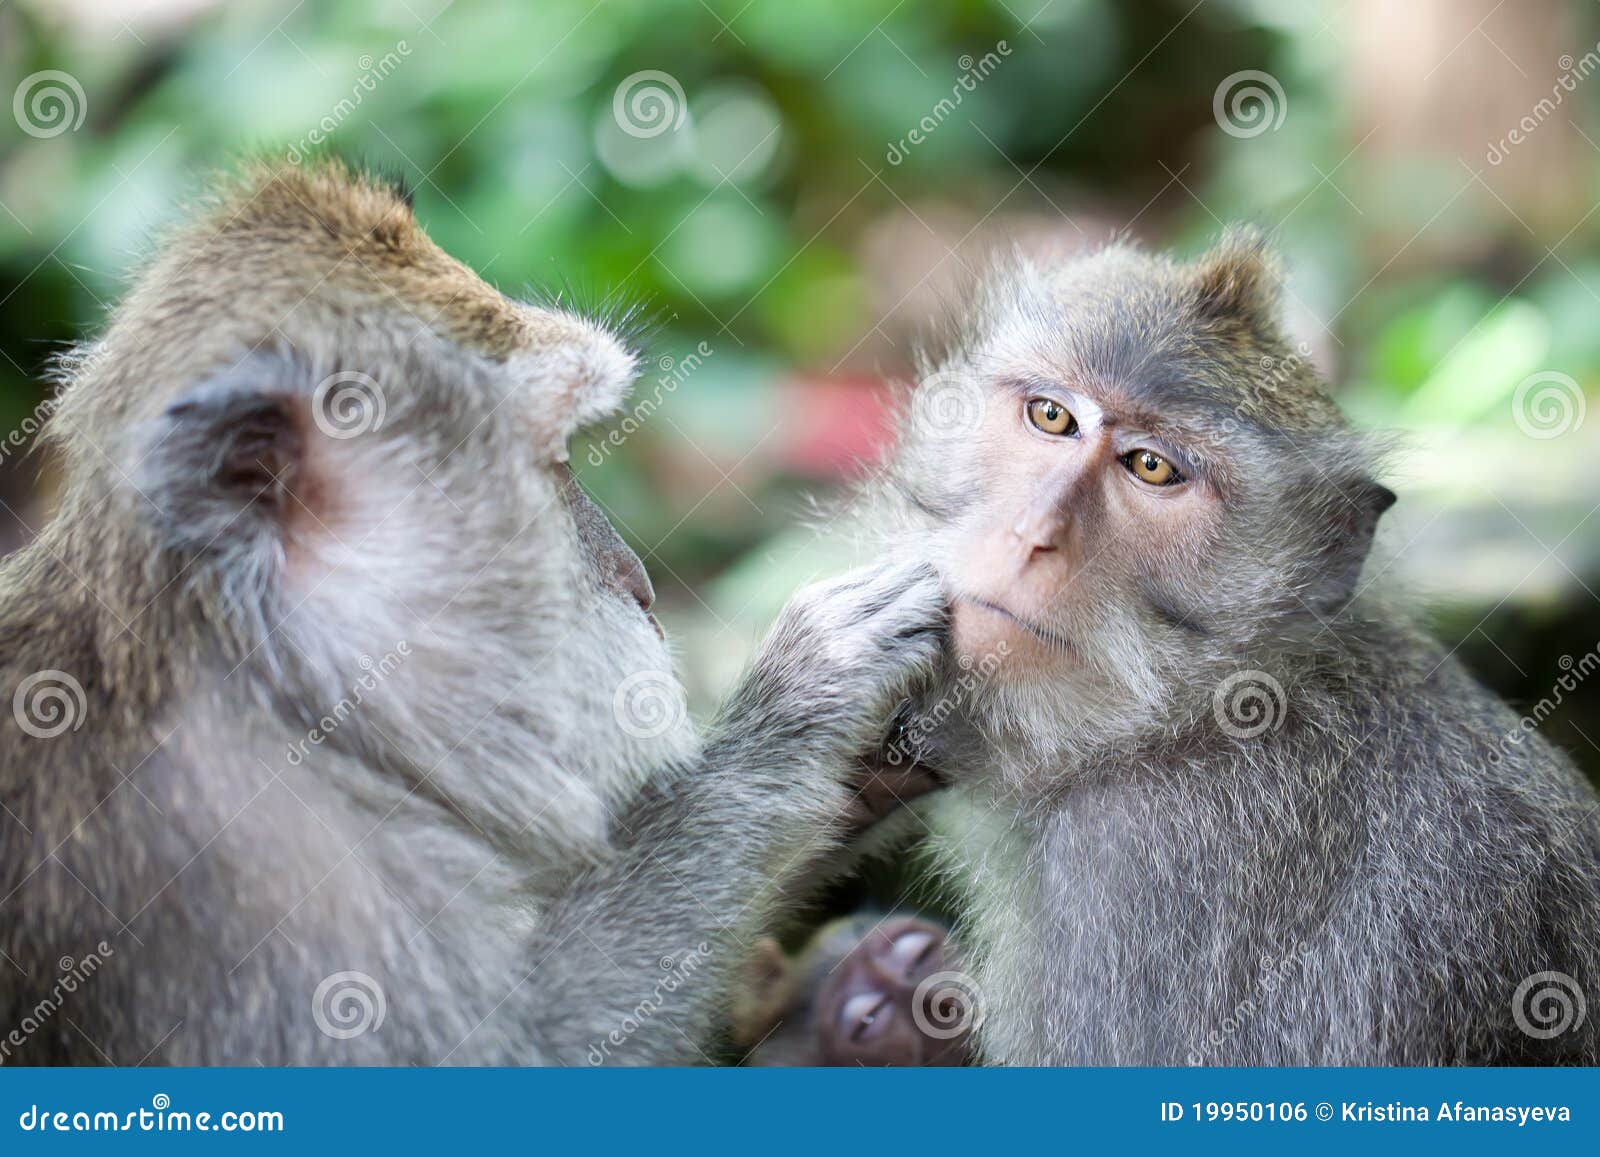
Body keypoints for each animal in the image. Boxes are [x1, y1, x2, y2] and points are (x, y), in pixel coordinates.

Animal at [0, 159, 948, 1065]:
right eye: (553, 461)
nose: (639, 583)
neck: (264, 684)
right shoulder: (252, 873)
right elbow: (516, 1054)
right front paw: (798, 705)